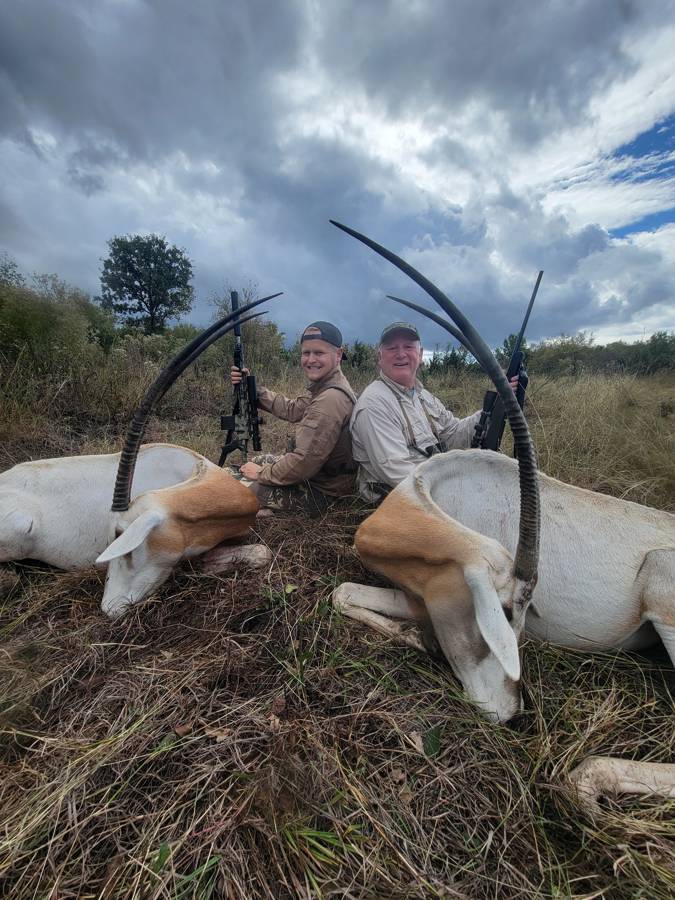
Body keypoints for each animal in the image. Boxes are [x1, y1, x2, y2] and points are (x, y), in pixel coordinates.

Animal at [329, 221, 675, 814]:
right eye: (507, 611)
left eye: (526, 618)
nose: (511, 714)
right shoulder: (421, 590)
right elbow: (342, 594)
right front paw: (414, 638)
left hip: (659, 575)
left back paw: (589, 780)